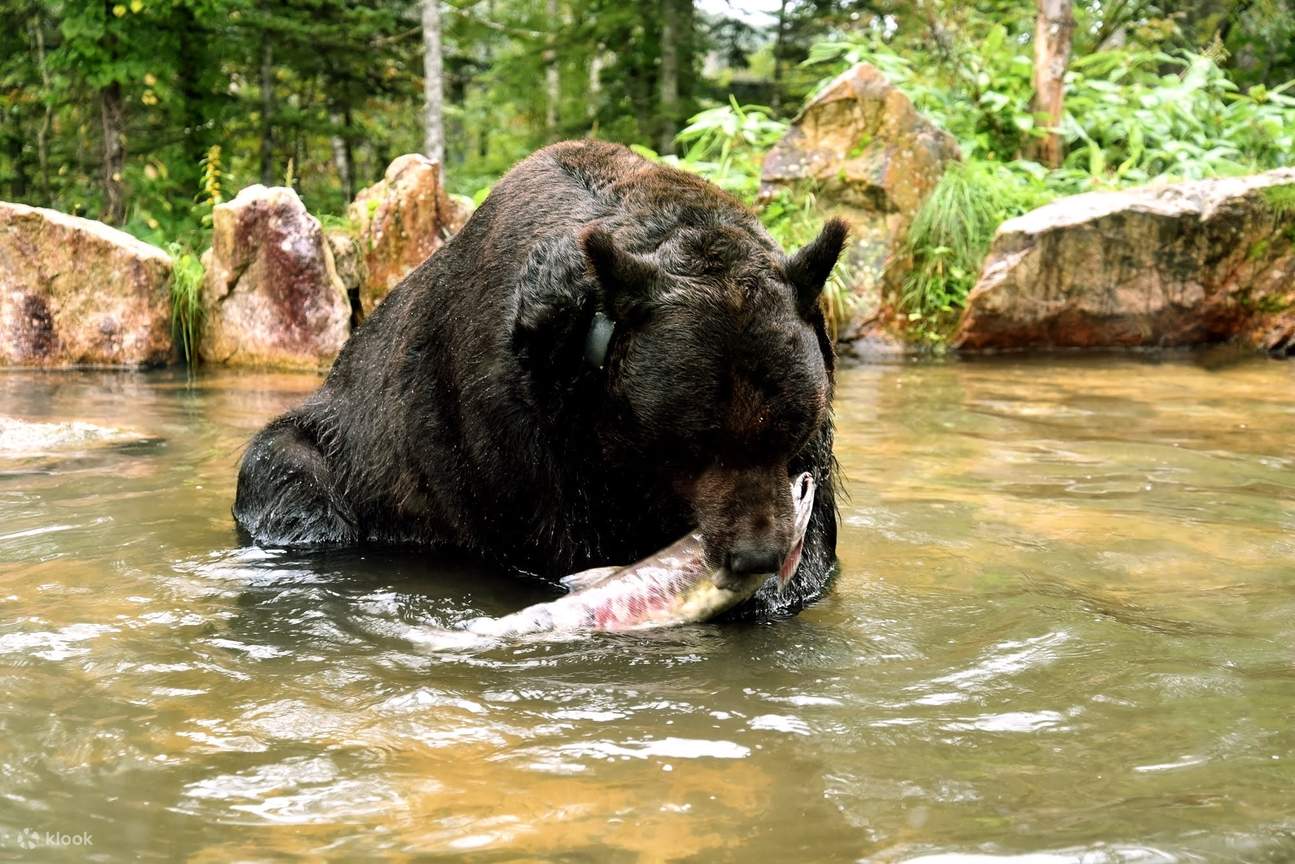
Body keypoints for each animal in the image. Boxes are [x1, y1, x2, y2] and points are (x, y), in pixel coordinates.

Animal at [234, 140, 847, 619]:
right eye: (693, 444)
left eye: (792, 428)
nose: (757, 554)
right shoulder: (521, 429)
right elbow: (563, 539)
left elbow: (820, 537)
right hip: (342, 458)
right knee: (289, 477)